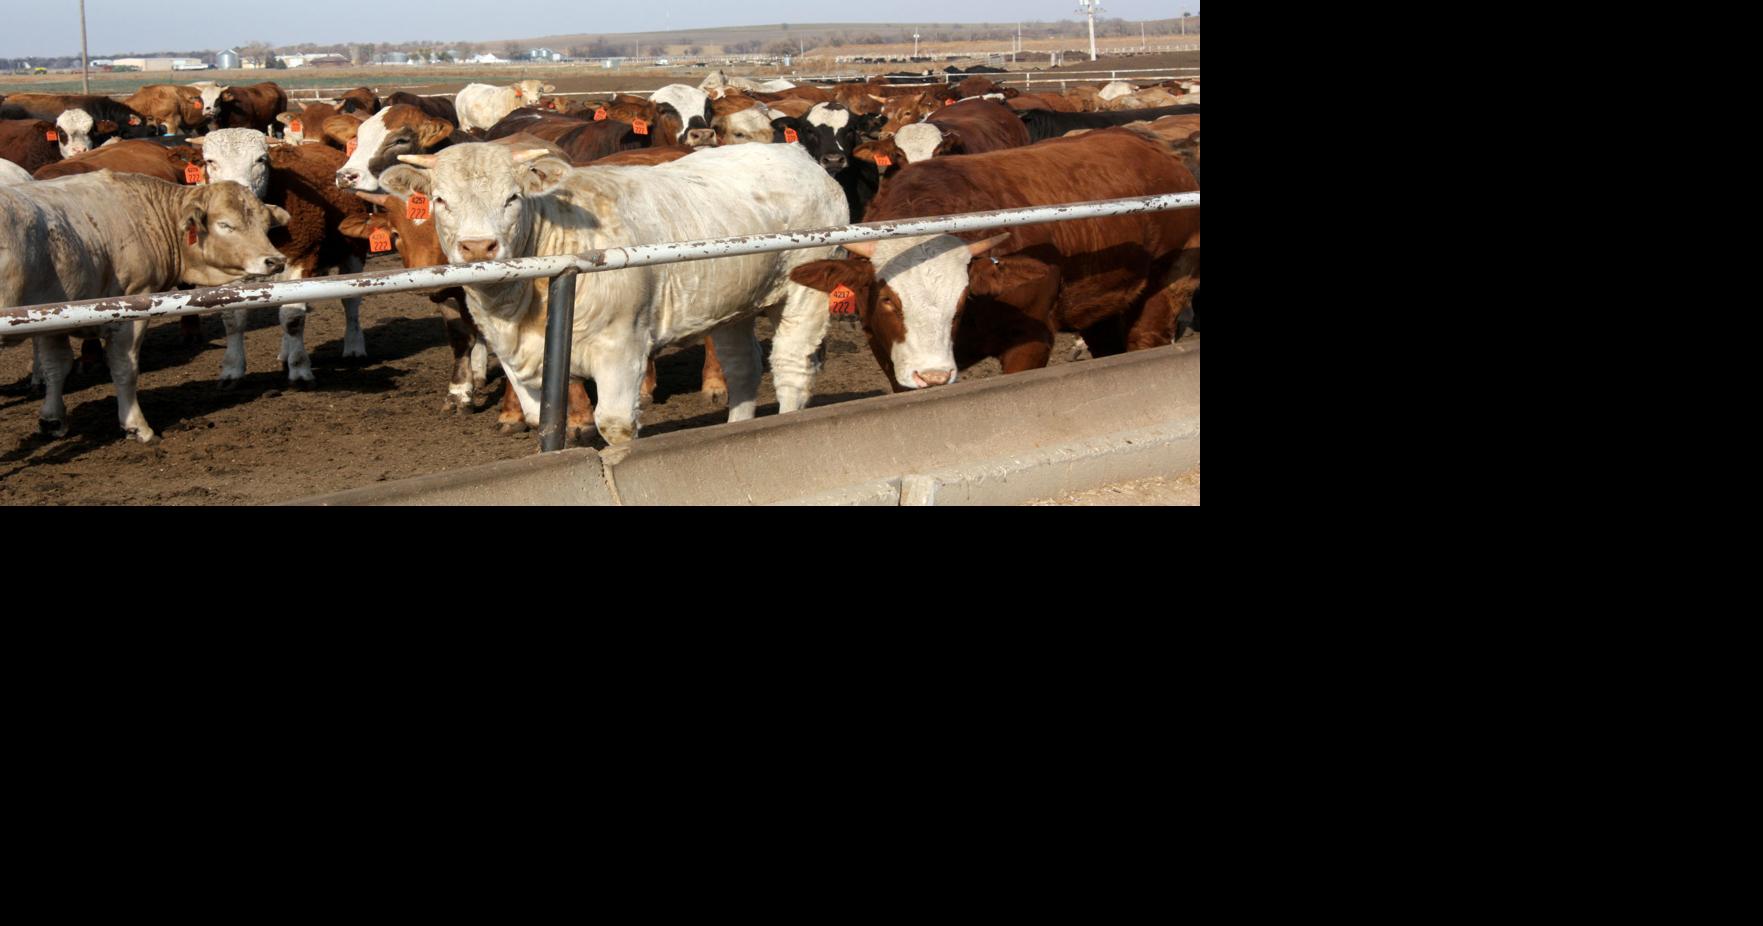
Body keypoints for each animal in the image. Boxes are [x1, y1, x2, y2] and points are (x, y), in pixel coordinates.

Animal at [0, 174, 288, 442]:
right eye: (225, 224)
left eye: (265, 226)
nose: (275, 261)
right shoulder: (133, 305)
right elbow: (124, 368)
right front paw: (137, 426)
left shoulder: (52, 317)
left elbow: (56, 367)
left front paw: (52, 419)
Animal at [194, 129, 371, 385]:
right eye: (210, 161)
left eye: (260, 160)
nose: (236, 200)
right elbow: (233, 318)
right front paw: (231, 369)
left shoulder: (301, 257)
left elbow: (292, 317)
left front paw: (300, 369)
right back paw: (285, 353)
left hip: (355, 248)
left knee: (351, 301)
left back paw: (354, 347)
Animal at [379, 141, 847, 443]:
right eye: (440, 200)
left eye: (512, 197)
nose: (478, 247)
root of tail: (799, 155)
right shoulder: (515, 357)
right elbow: (542, 420)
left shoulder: (622, 346)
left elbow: (616, 424)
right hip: (733, 303)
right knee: (743, 369)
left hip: (806, 289)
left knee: (790, 367)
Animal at [787, 129, 1200, 392]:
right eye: (888, 300)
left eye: (962, 299)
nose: (934, 375)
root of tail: (1164, 153)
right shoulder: (893, 358)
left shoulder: (1029, 342)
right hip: (1102, 307)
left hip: (1169, 283)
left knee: (1147, 336)